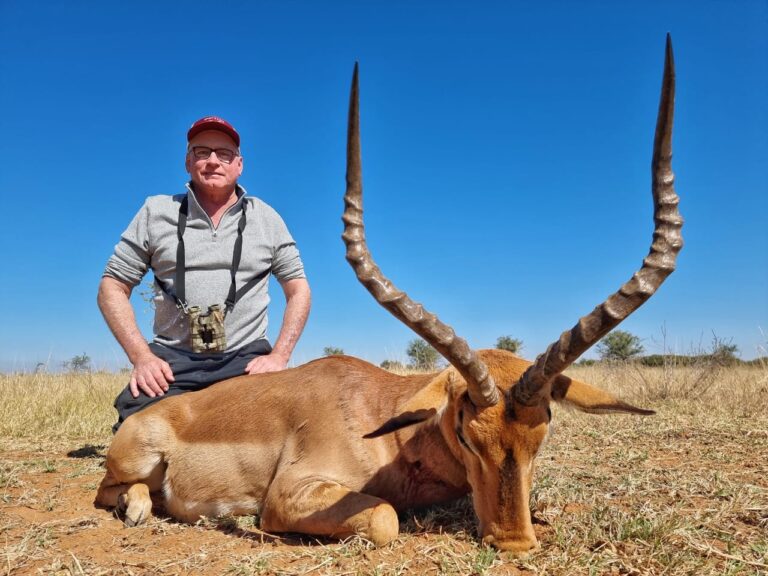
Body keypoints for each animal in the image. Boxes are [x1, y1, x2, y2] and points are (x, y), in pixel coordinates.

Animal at [95, 36, 681, 555]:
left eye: (543, 434)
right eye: (466, 432)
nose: (513, 542)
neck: (386, 426)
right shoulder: (291, 495)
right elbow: (383, 517)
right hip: (134, 462)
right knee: (111, 491)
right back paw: (142, 508)